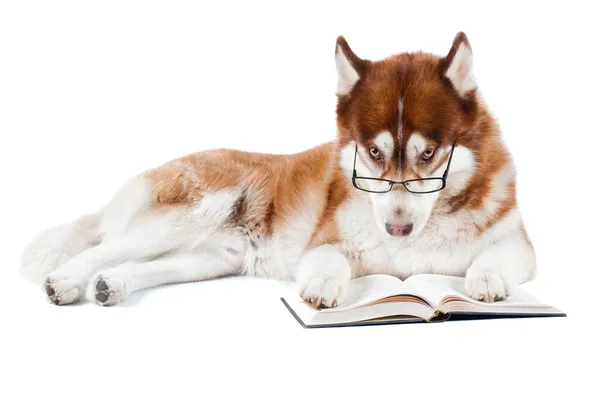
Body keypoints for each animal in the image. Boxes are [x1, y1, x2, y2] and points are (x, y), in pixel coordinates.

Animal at [19, 32, 536, 308]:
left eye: (428, 154)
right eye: (373, 152)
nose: (397, 229)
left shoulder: (520, 246)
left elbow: (499, 257)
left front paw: (486, 279)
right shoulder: (325, 241)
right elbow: (330, 262)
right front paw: (323, 285)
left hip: (212, 258)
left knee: (134, 264)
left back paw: (113, 285)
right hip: (191, 212)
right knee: (102, 246)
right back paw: (67, 280)